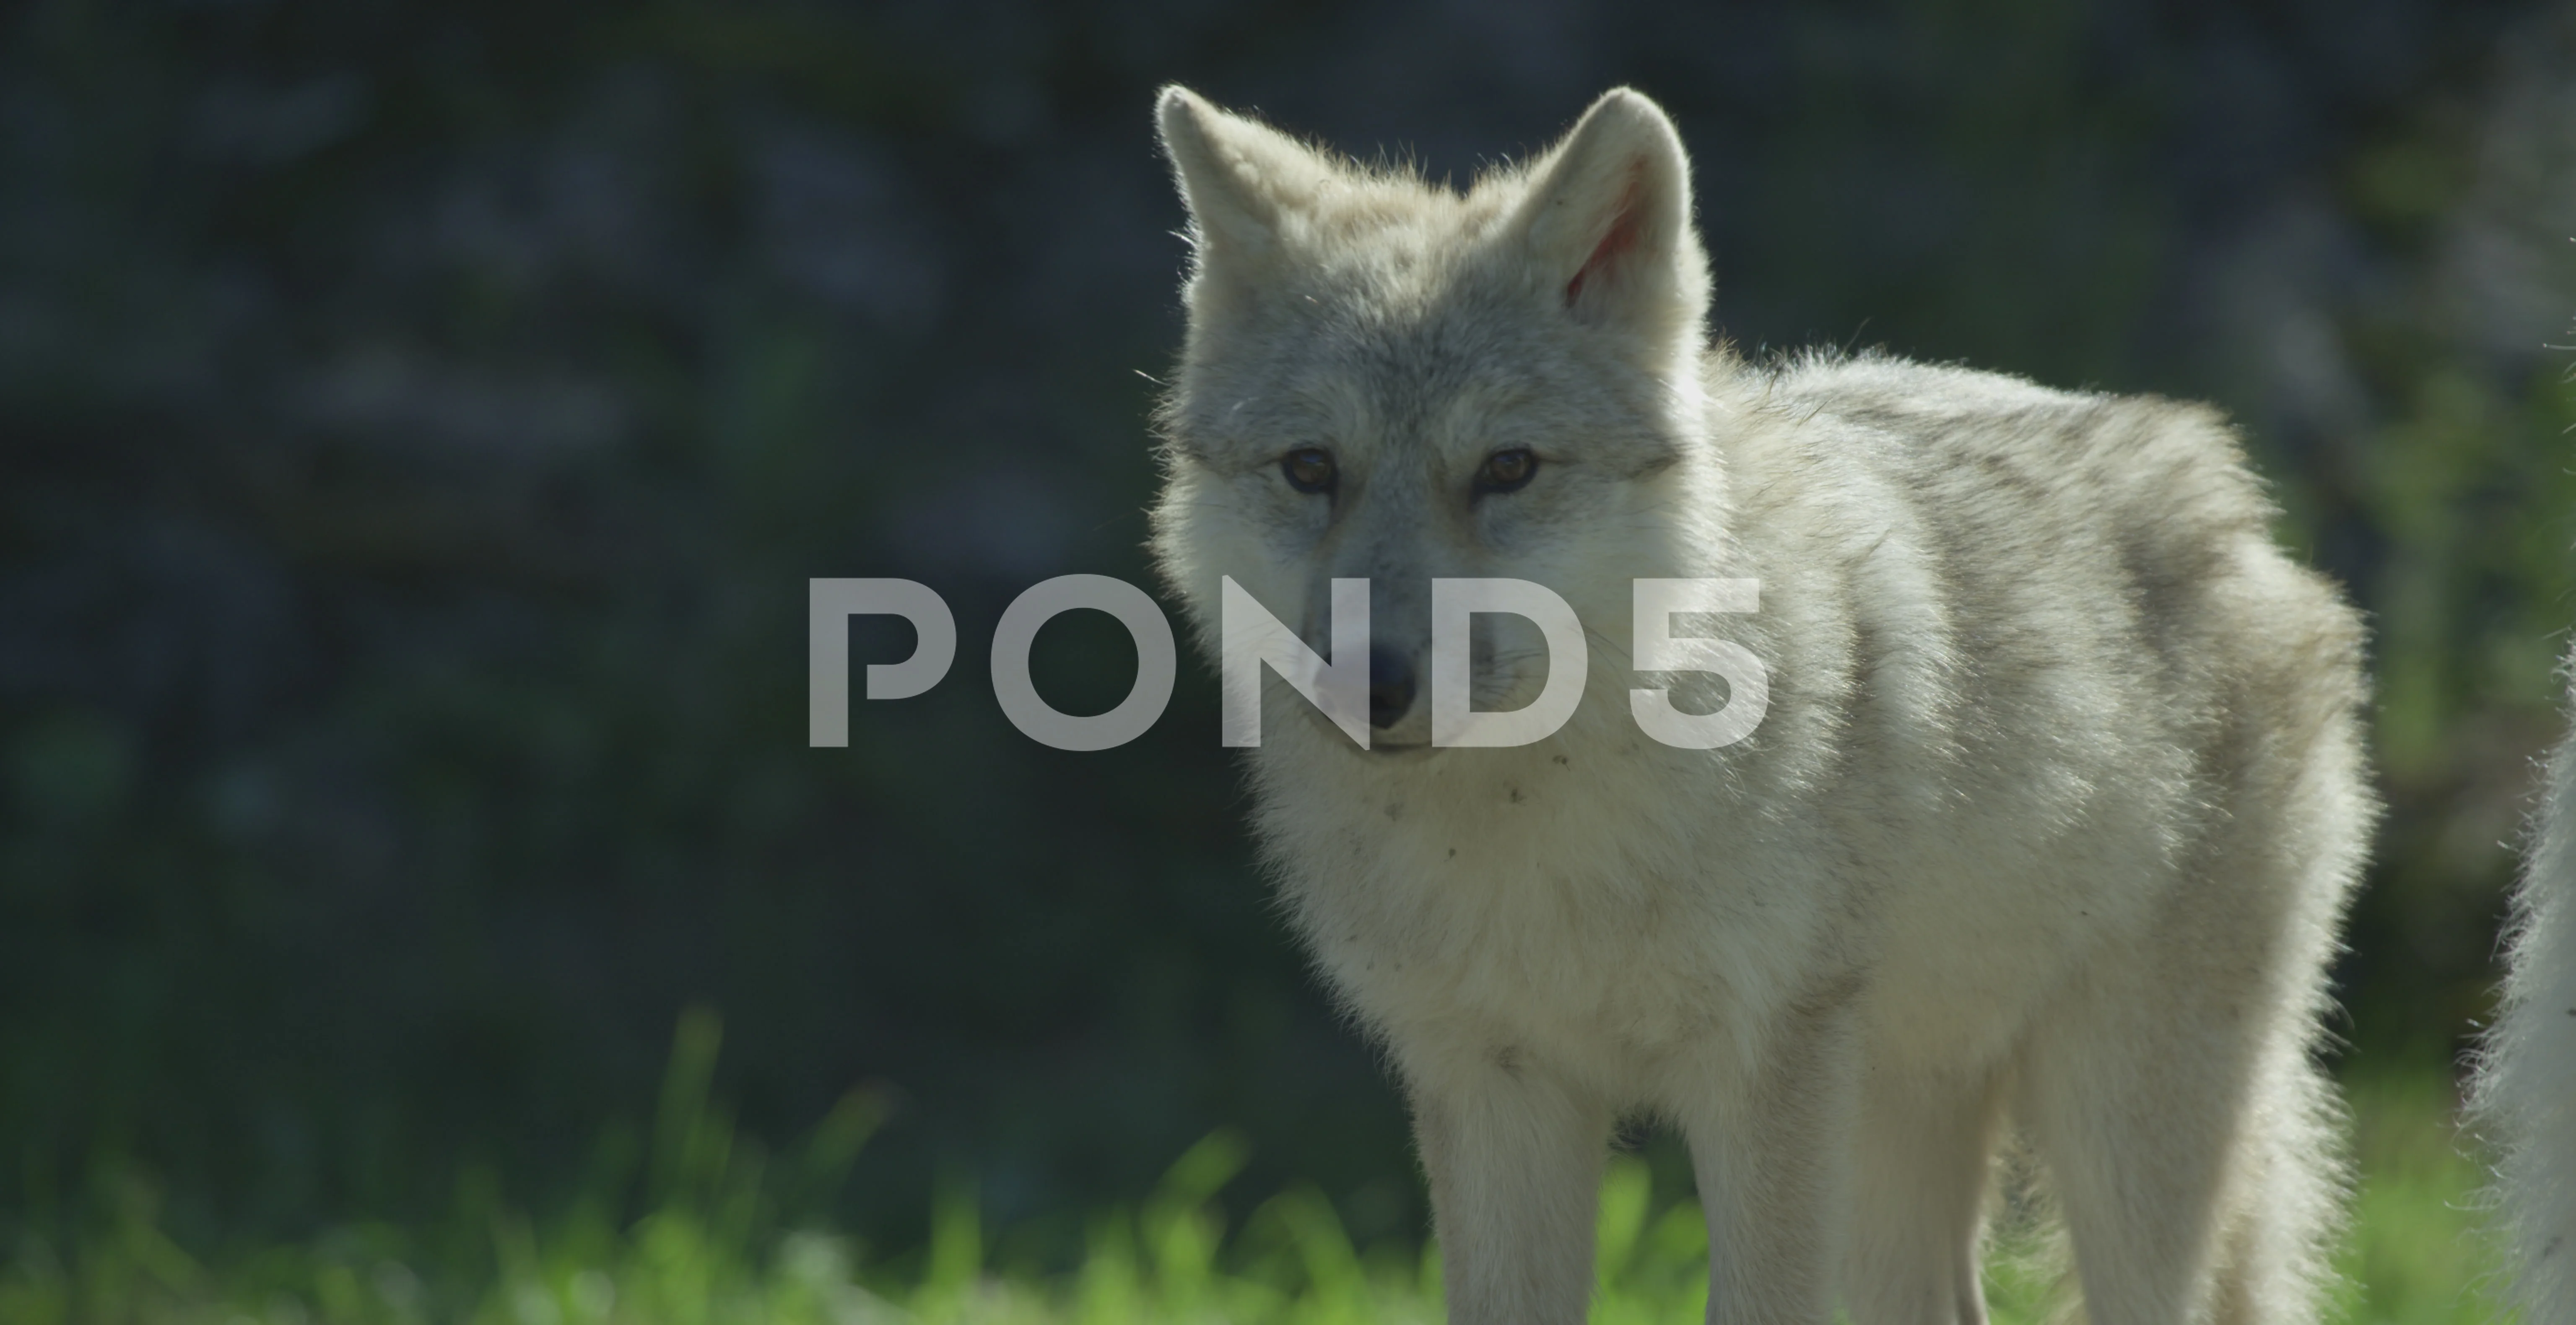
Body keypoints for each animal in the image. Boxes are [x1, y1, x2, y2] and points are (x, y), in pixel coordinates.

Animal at [1146, 84, 2374, 1325]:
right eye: (1312, 469)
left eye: (1507, 469)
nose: (1371, 680)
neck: (1532, 836)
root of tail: (2234, 506)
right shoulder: (1493, 1086)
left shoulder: (1759, 1078)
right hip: (1899, 1142)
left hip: (2110, 1136)